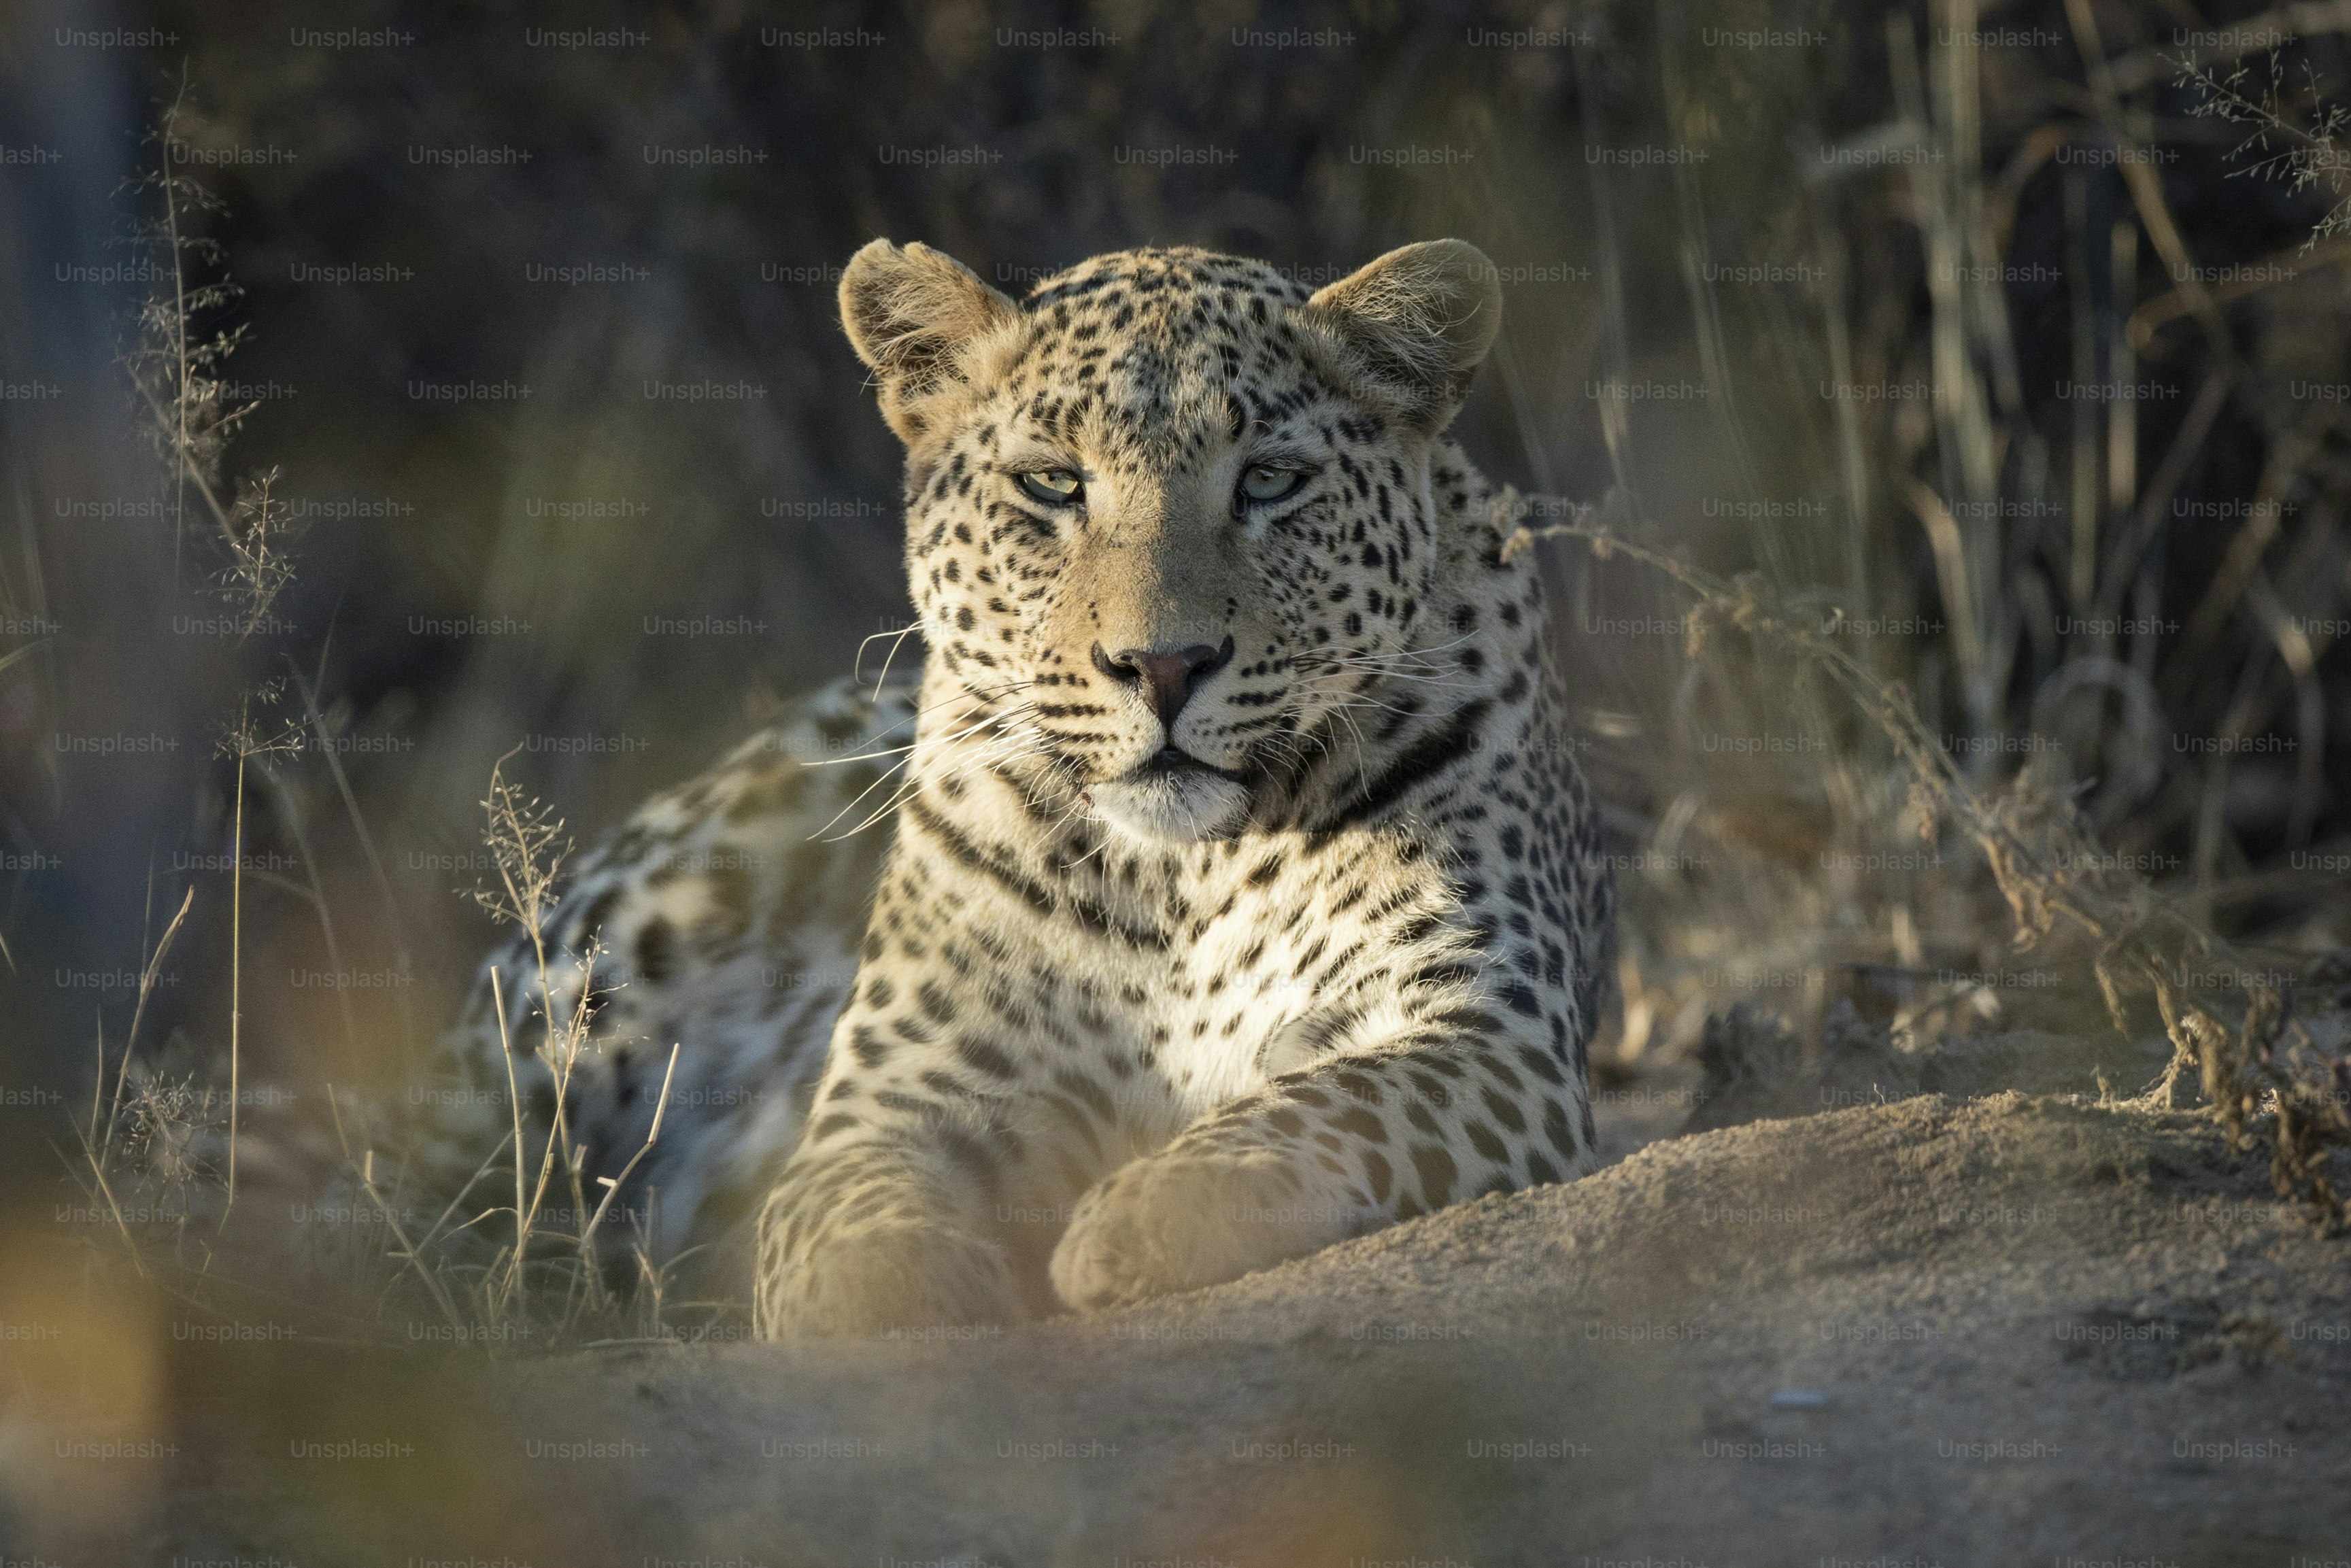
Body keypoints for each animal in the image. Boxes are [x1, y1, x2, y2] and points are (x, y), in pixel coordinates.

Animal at [424, 236, 1615, 1338]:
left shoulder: (1479, 1031)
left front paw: (1132, 1225)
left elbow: (1319, 1109)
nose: (1163, 665)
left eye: (1270, 480)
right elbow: (856, 1230)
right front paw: (903, 1307)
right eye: (1054, 483)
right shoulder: (898, 1092)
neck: (1179, 872)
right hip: (604, 961)